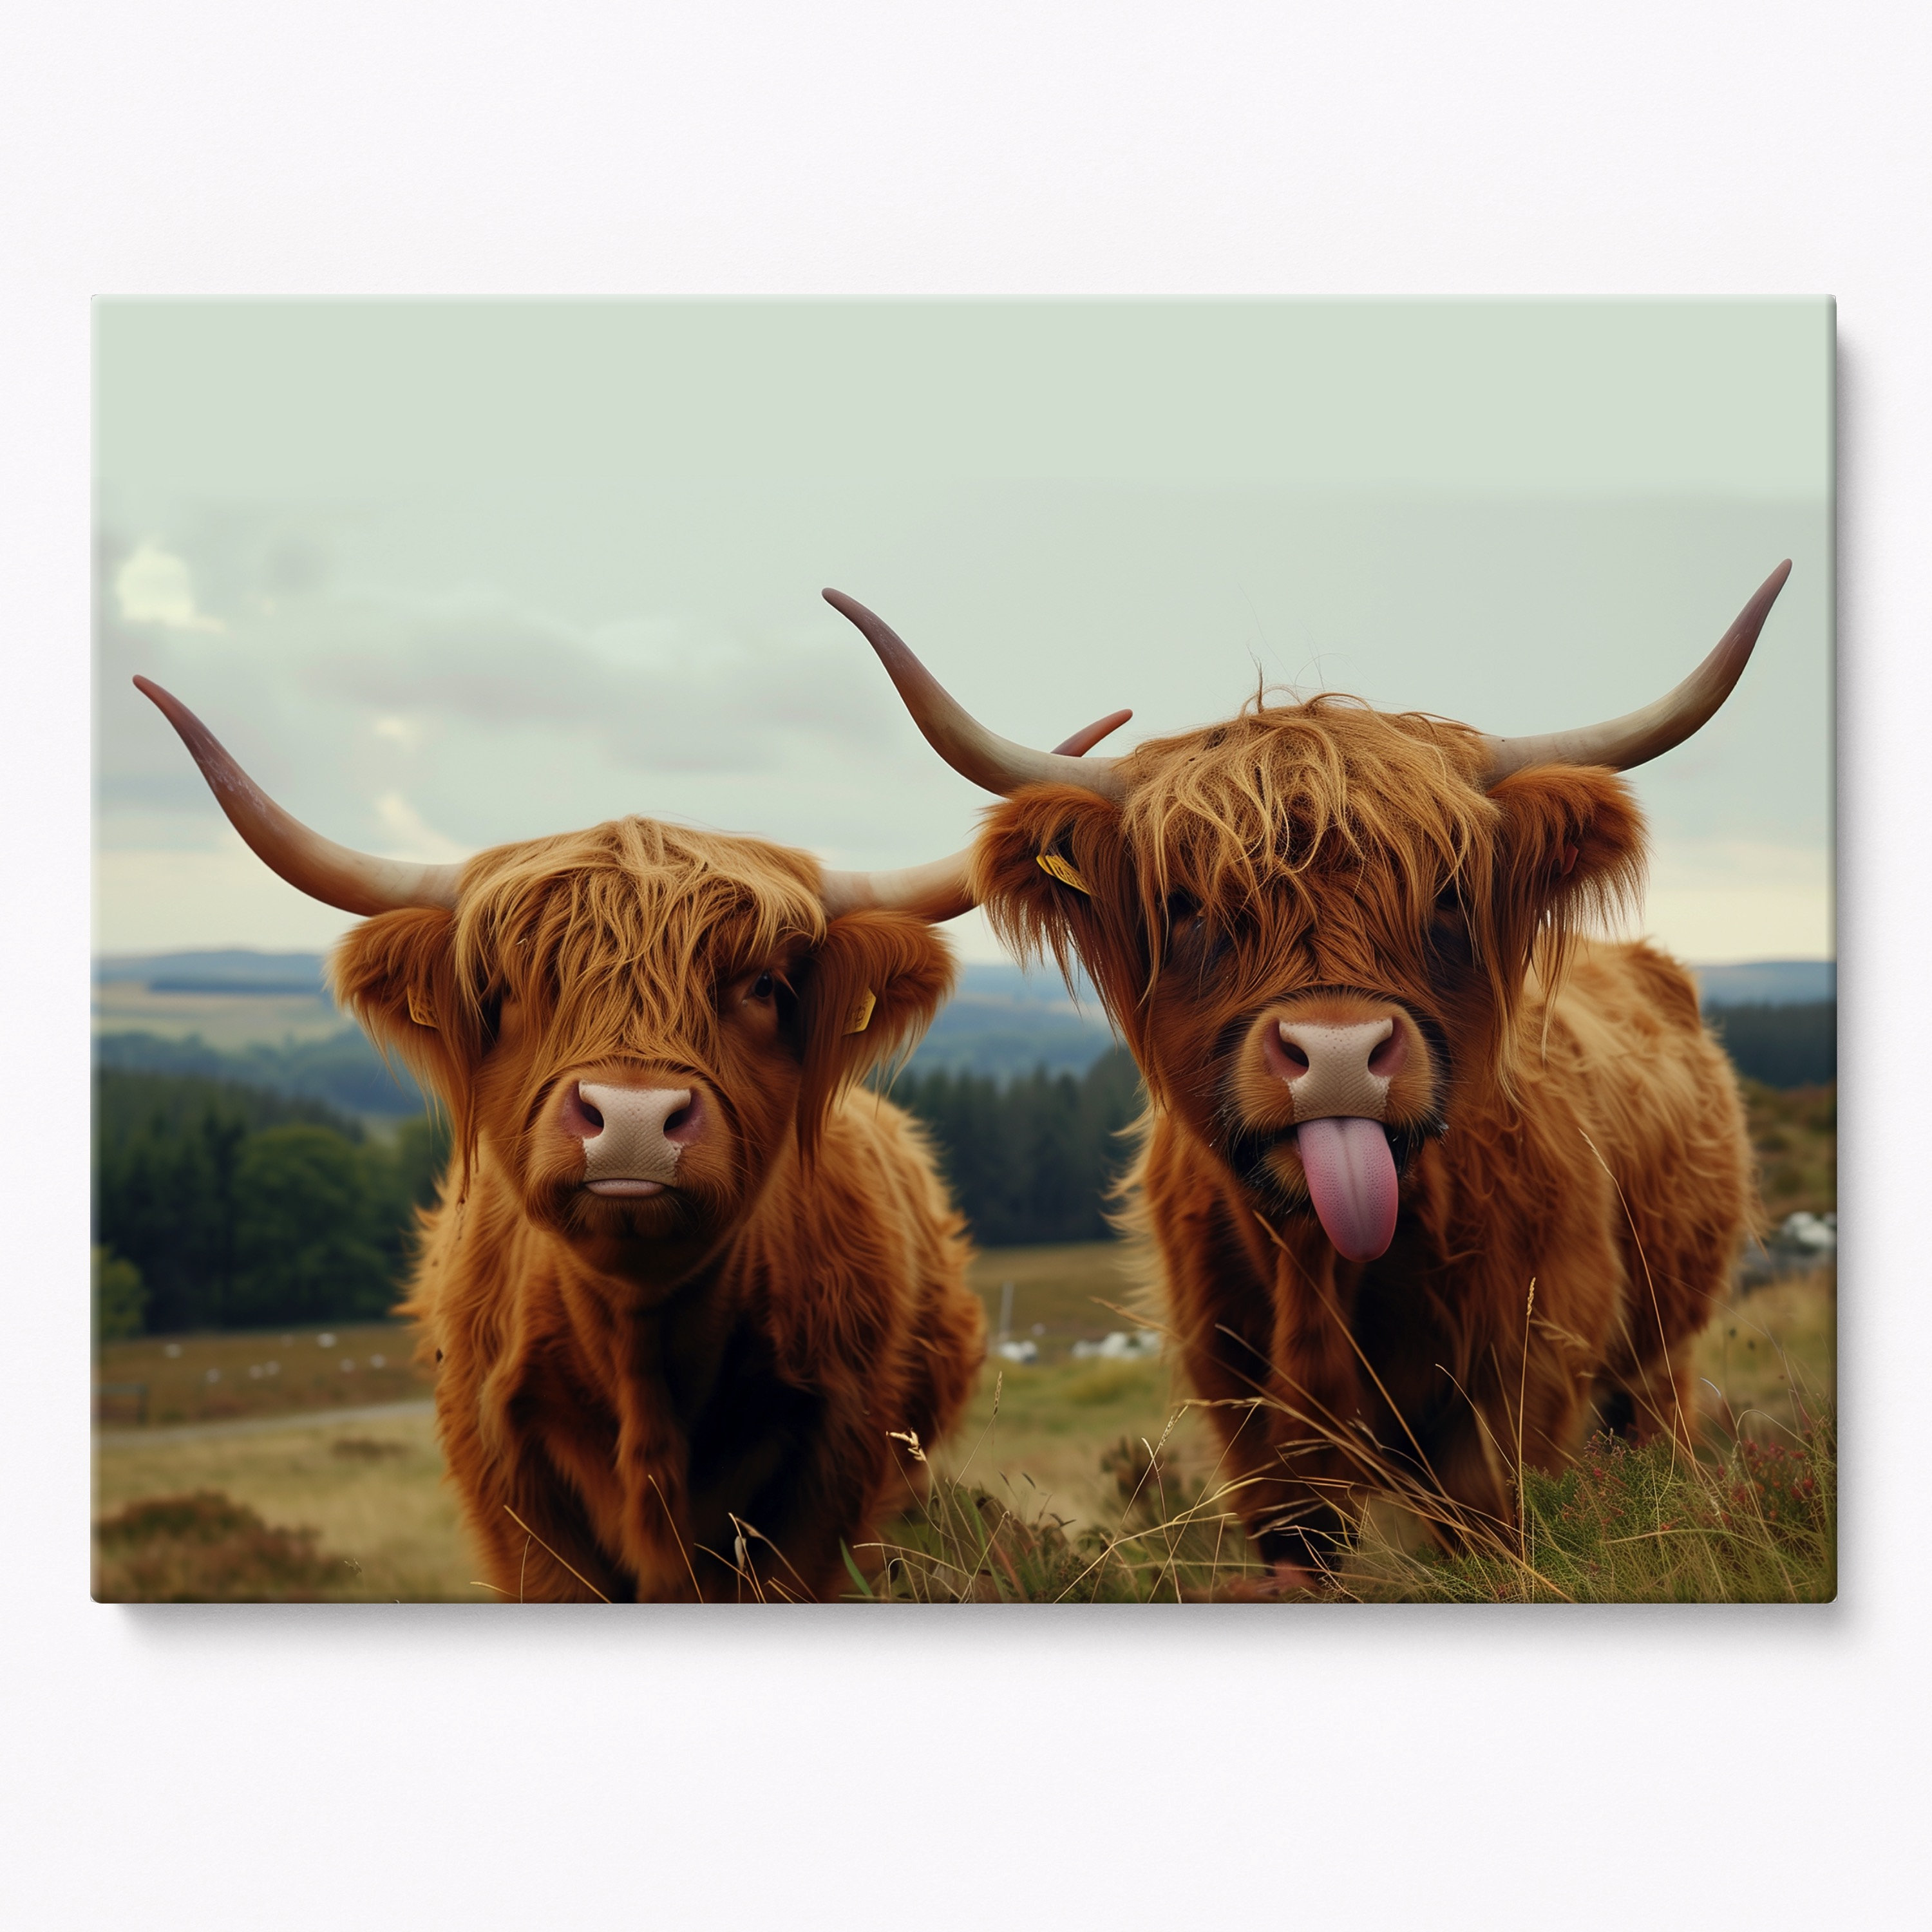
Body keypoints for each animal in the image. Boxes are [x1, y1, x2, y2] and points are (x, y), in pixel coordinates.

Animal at [132, 675, 1129, 1602]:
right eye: (508, 987)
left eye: (763, 984)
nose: (634, 1120)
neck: (643, 1347)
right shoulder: (509, 1485)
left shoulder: (835, 1473)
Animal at [823, 566, 1788, 1584]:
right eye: (1187, 903)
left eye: (1450, 893)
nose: (1336, 1056)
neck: (1319, 1261)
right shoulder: (1250, 1429)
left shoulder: (1521, 1394)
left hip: (1661, 1357)